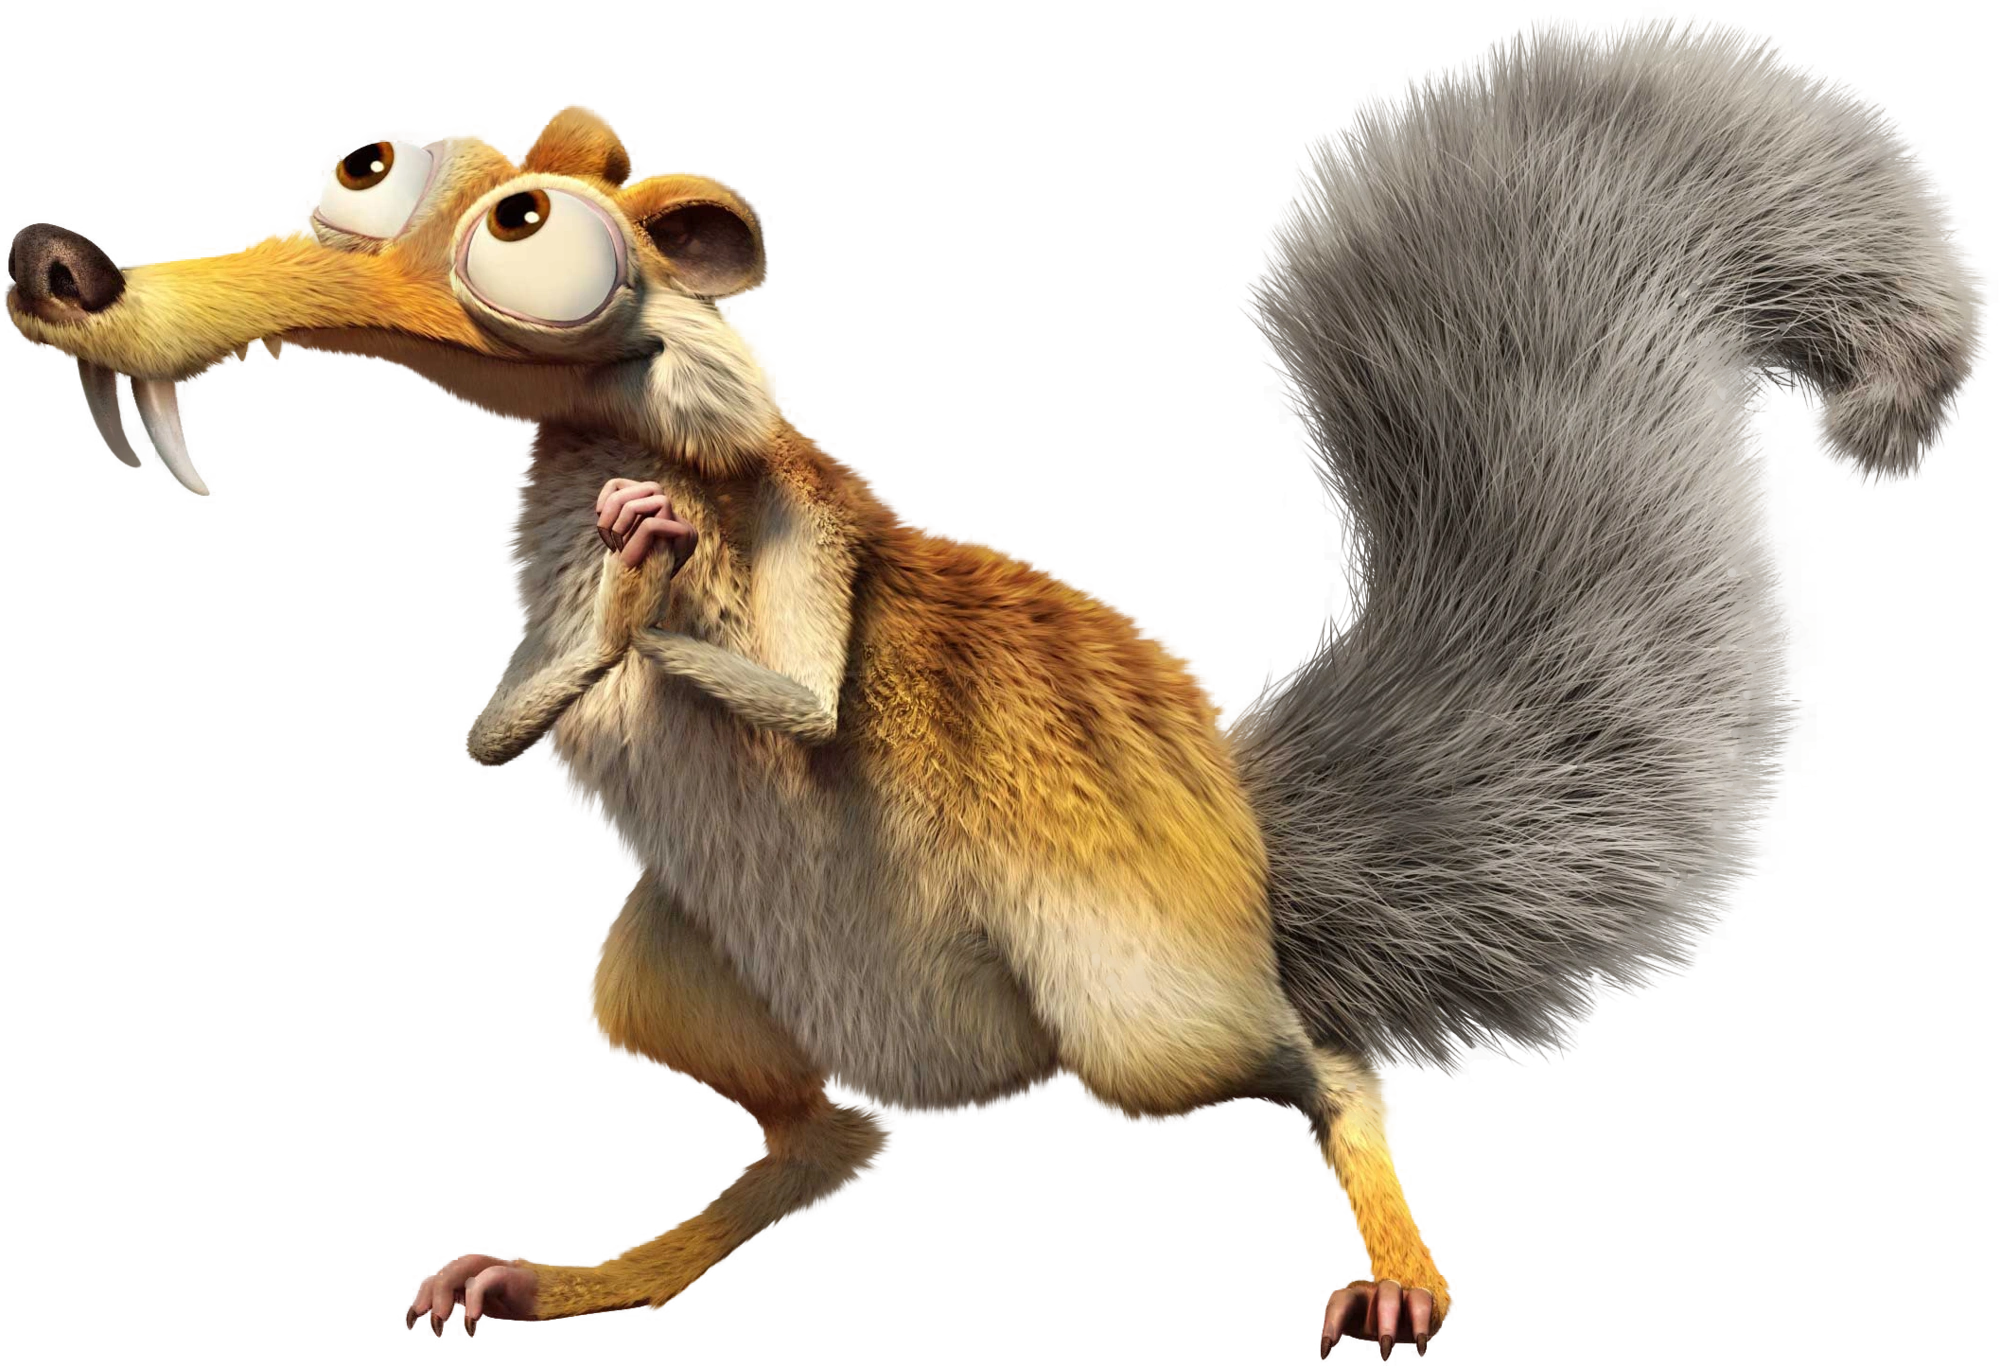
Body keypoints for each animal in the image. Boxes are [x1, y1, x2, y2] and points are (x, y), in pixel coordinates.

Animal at [0, 37, 1982, 1357]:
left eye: (525, 230)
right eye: (362, 166)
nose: (68, 276)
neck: (593, 441)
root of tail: (1251, 864)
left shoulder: (791, 522)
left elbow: (800, 698)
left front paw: (656, 573)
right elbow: (494, 735)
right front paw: (609, 615)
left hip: (1136, 1011)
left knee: (1313, 1063)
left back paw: (1393, 1249)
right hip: (662, 978)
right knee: (824, 1144)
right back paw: (592, 1272)